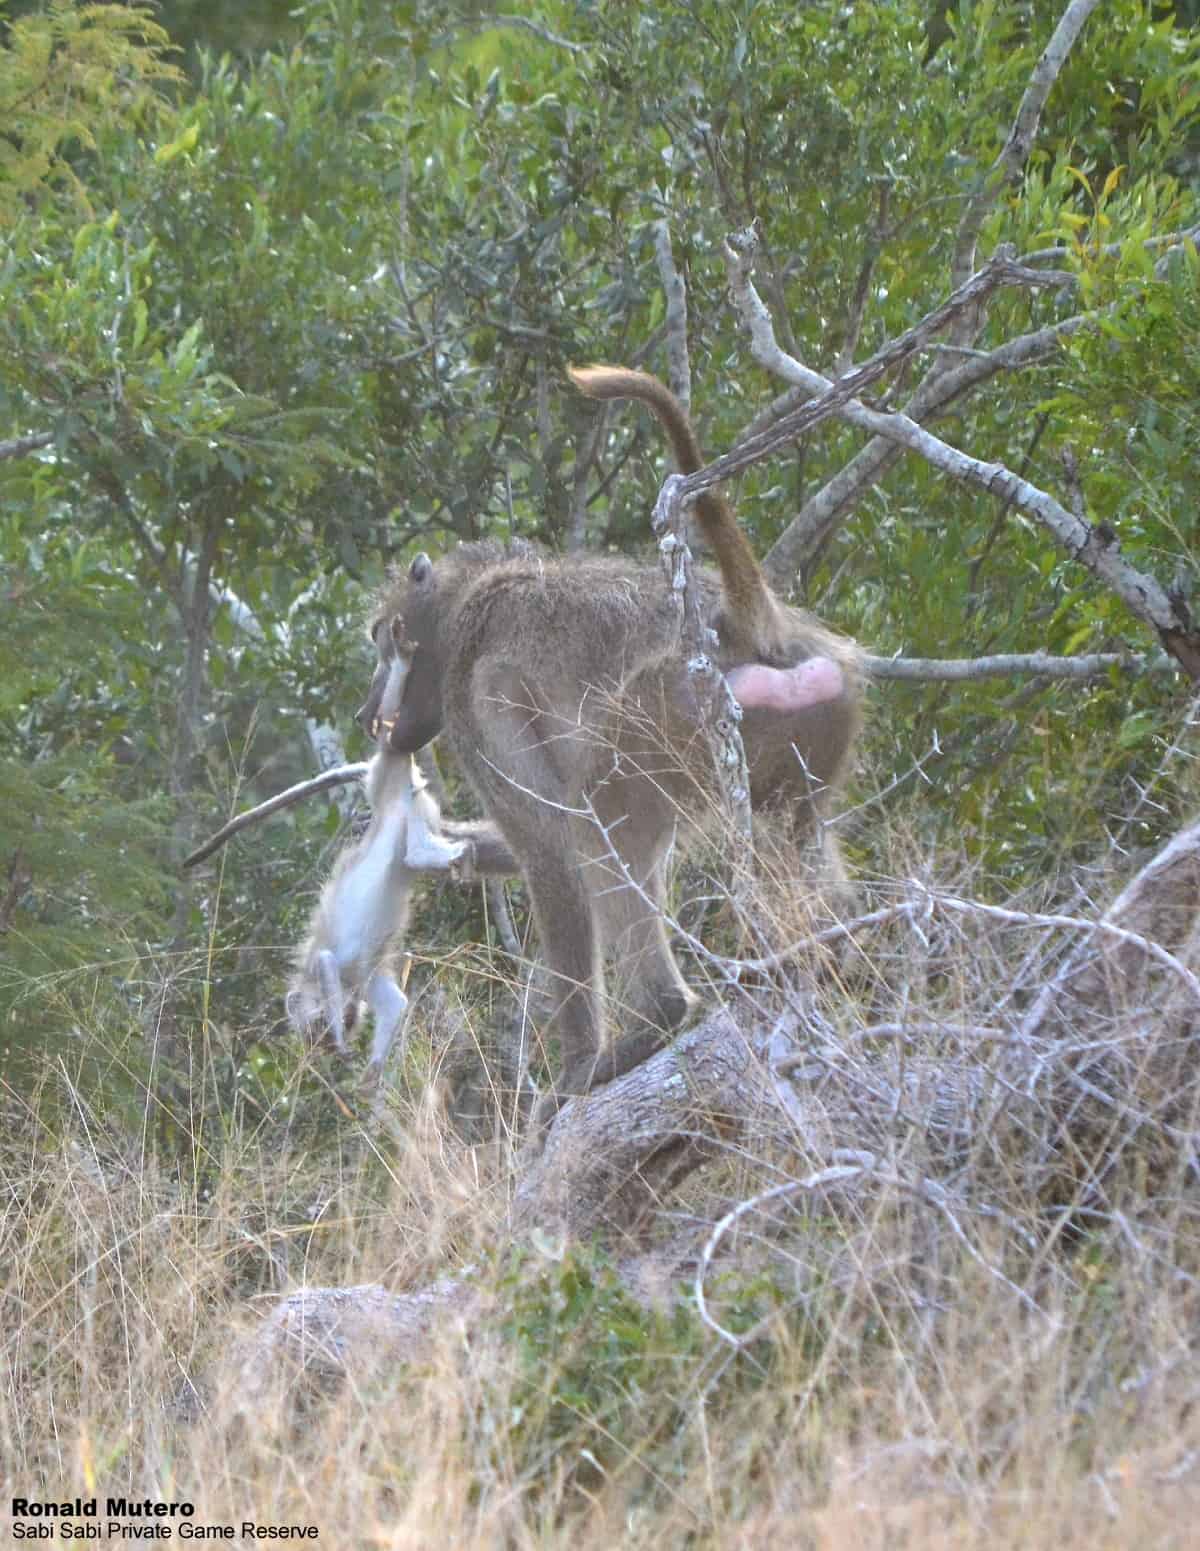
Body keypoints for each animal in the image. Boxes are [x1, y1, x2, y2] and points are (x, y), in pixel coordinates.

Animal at [357, 367, 862, 1122]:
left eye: (384, 638)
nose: (368, 714)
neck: (471, 601)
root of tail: (746, 626)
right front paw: (437, 848)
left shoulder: (479, 699)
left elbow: (553, 849)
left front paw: (573, 1070)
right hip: (815, 716)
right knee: (790, 836)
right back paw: (831, 962)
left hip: (672, 713)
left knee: (600, 816)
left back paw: (651, 1024)